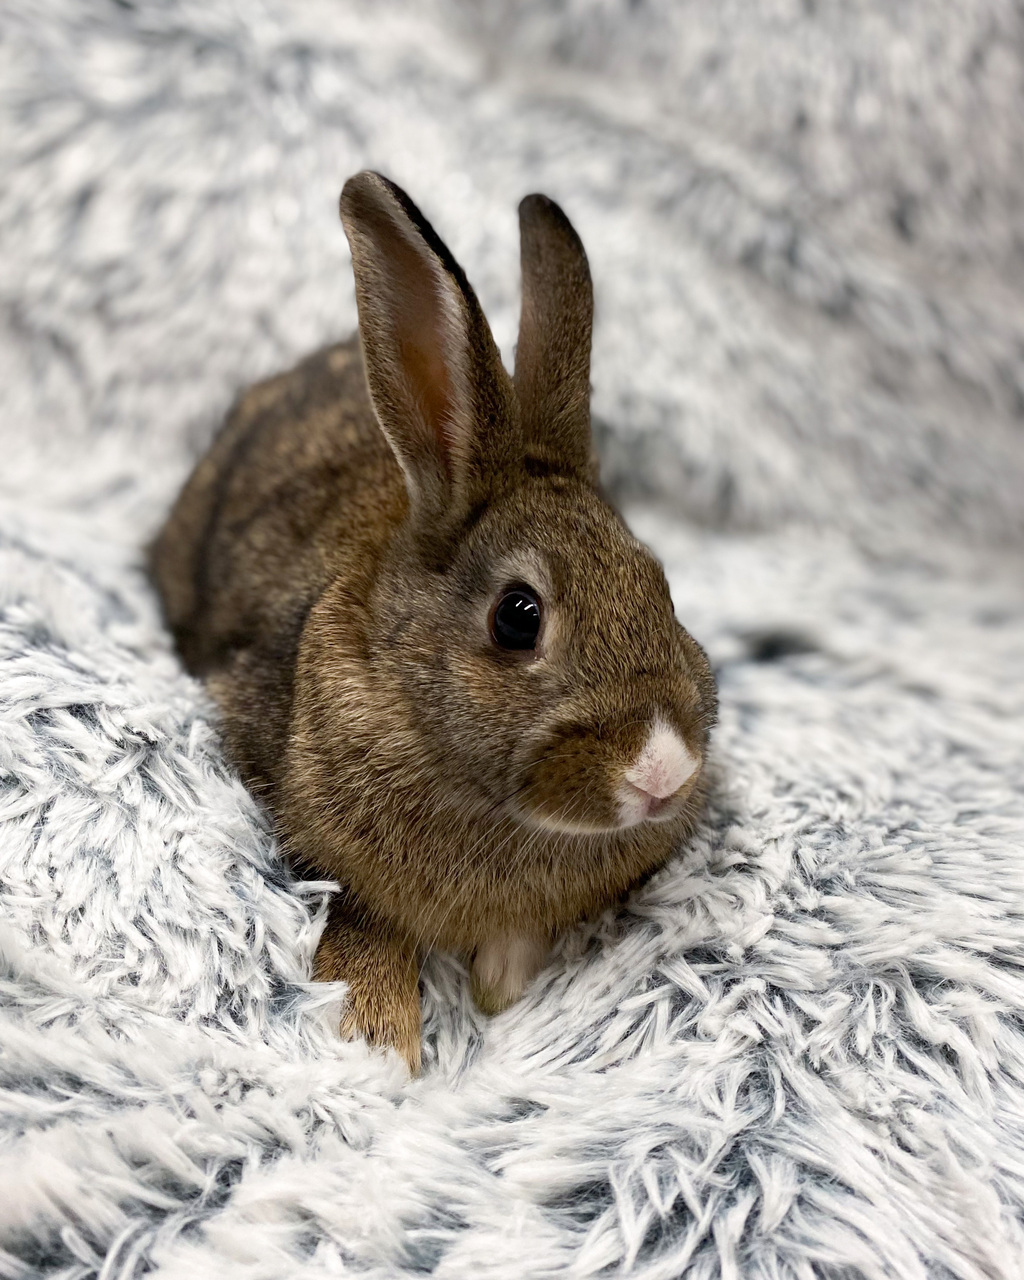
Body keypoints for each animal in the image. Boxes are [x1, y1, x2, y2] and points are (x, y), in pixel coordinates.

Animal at [150, 171, 717, 1073]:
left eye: (660, 584)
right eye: (518, 617)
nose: (662, 771)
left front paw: (503, 984)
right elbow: (365, 921)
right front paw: (378, 1040)